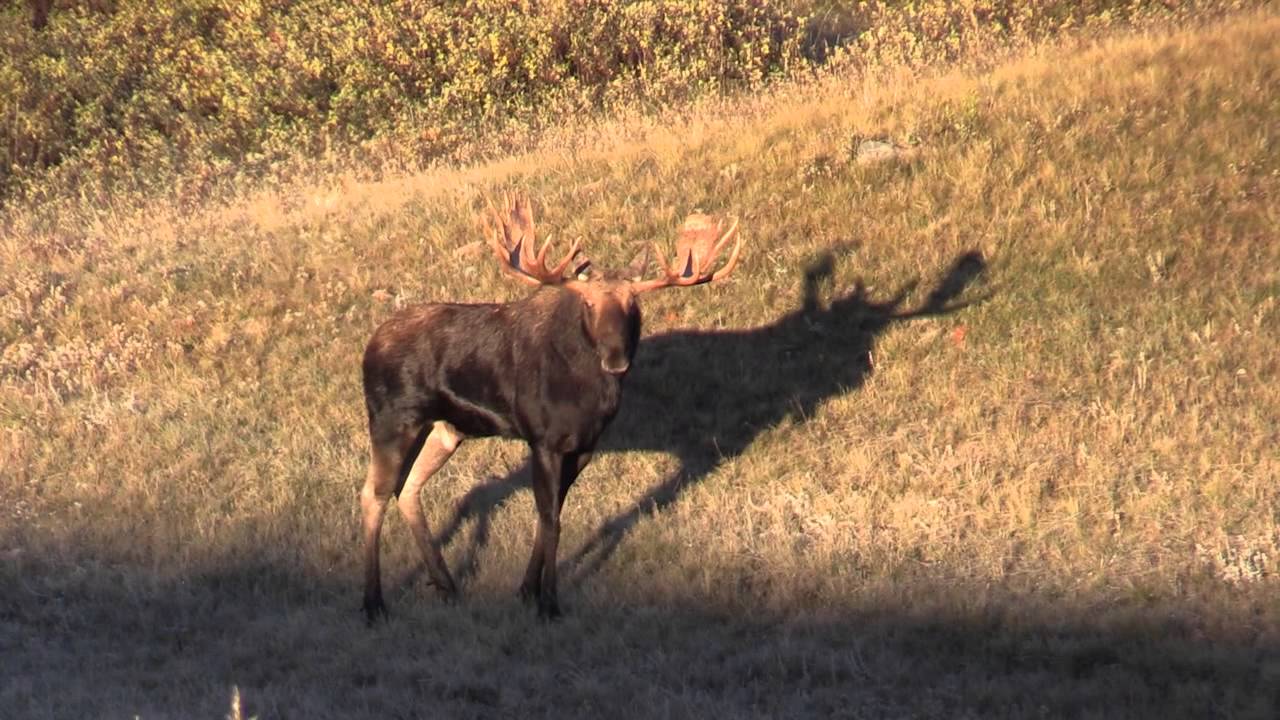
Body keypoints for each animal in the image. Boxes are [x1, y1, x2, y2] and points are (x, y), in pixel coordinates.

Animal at [359, 195, 743, 622]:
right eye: (588, 303)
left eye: (634, 303)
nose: (616, 359)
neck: (588, 395)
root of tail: (368, 348)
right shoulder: (543, 439)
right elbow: (550, 518)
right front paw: (549, 602)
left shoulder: (584, 445)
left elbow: (552, 514)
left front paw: (527, 590)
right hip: (392, 418)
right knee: (373, 494)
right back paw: (373, 602)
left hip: (445, 428)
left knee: (408, 488)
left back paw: (446, 584)